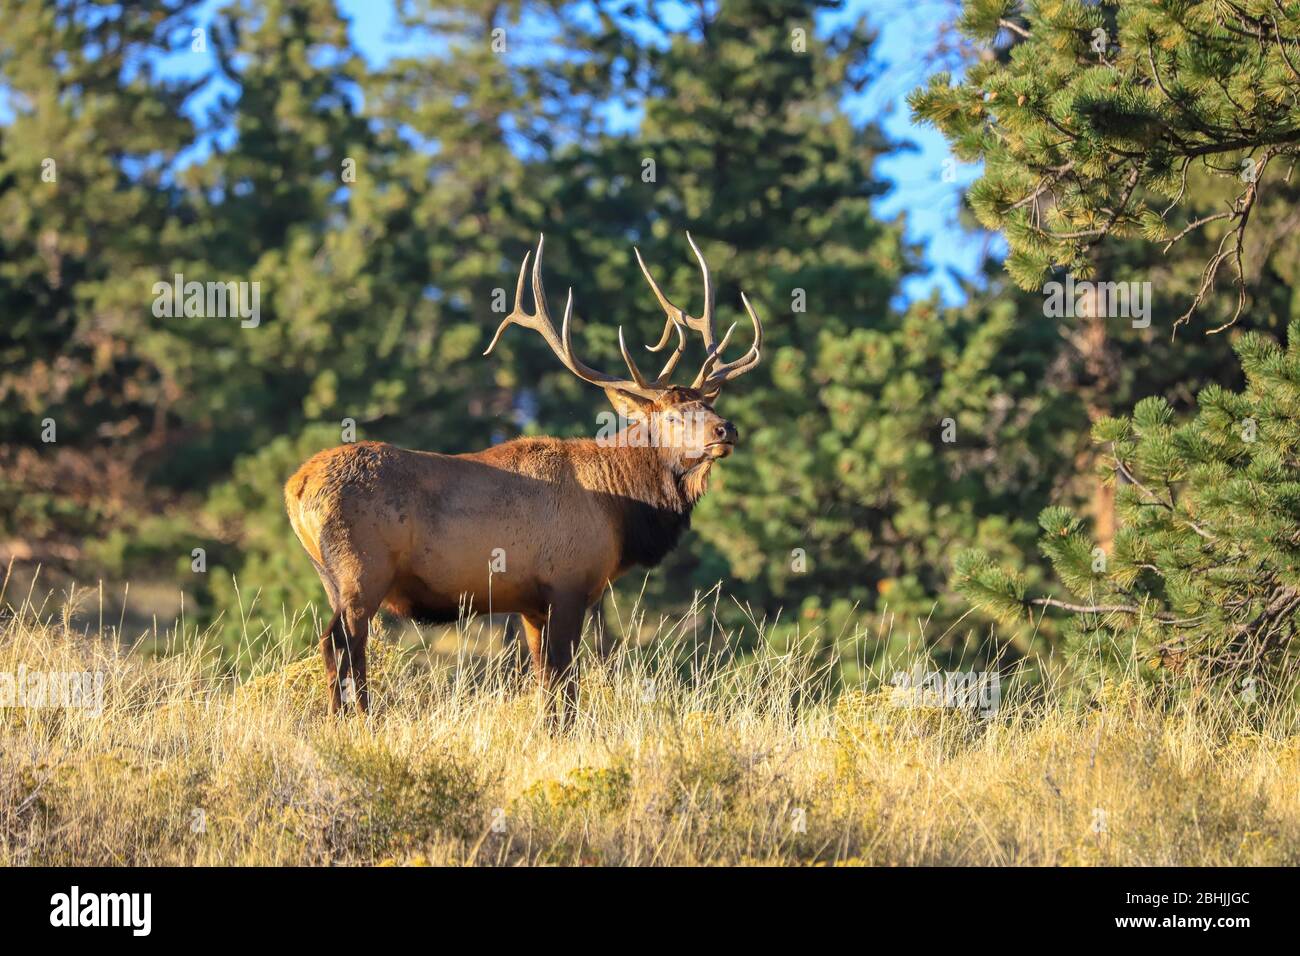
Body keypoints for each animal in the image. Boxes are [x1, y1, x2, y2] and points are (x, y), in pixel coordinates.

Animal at [284, 234, 763, 721]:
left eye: (707, 404)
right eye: (671, 415)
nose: (726, 429)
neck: (618, 508)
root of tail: (295, 486)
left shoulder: (531, 604)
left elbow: (544, 682)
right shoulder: (567, 583)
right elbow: (564, 682)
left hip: (330, 576)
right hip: (362, 571)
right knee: (342, 644)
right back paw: (358, 720)